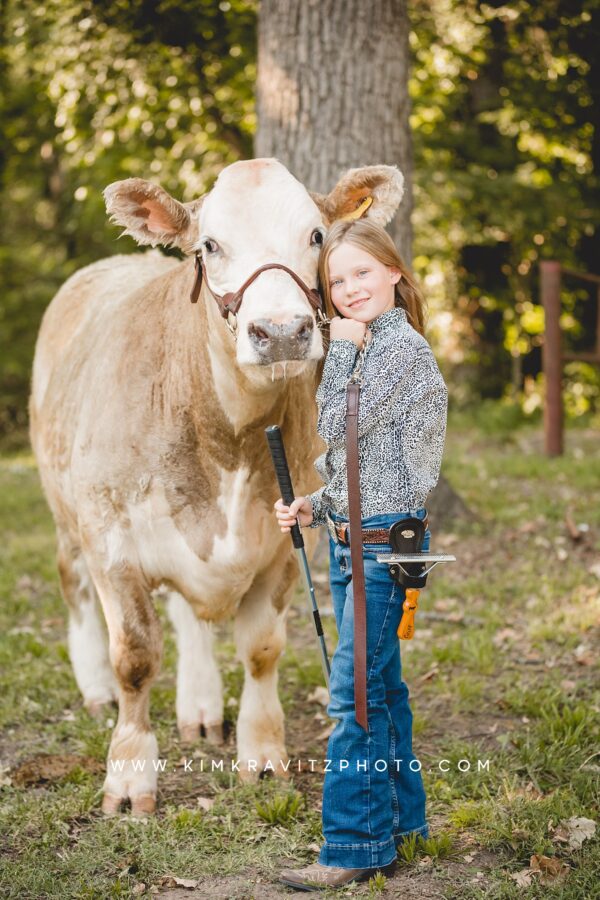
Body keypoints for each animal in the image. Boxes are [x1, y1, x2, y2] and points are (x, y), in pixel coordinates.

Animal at [29, 158, 404, 815]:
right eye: (209, 244)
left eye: (316, 235)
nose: (280, 332)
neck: (229, 442)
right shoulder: (111, 542)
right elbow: (135, 655)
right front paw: (130, 776)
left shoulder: (286, 543)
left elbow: (261, 648)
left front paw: (263, 755)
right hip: (66, 512)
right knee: (73, 585)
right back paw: (96, 688)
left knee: (188, 615)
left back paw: (200, 704)